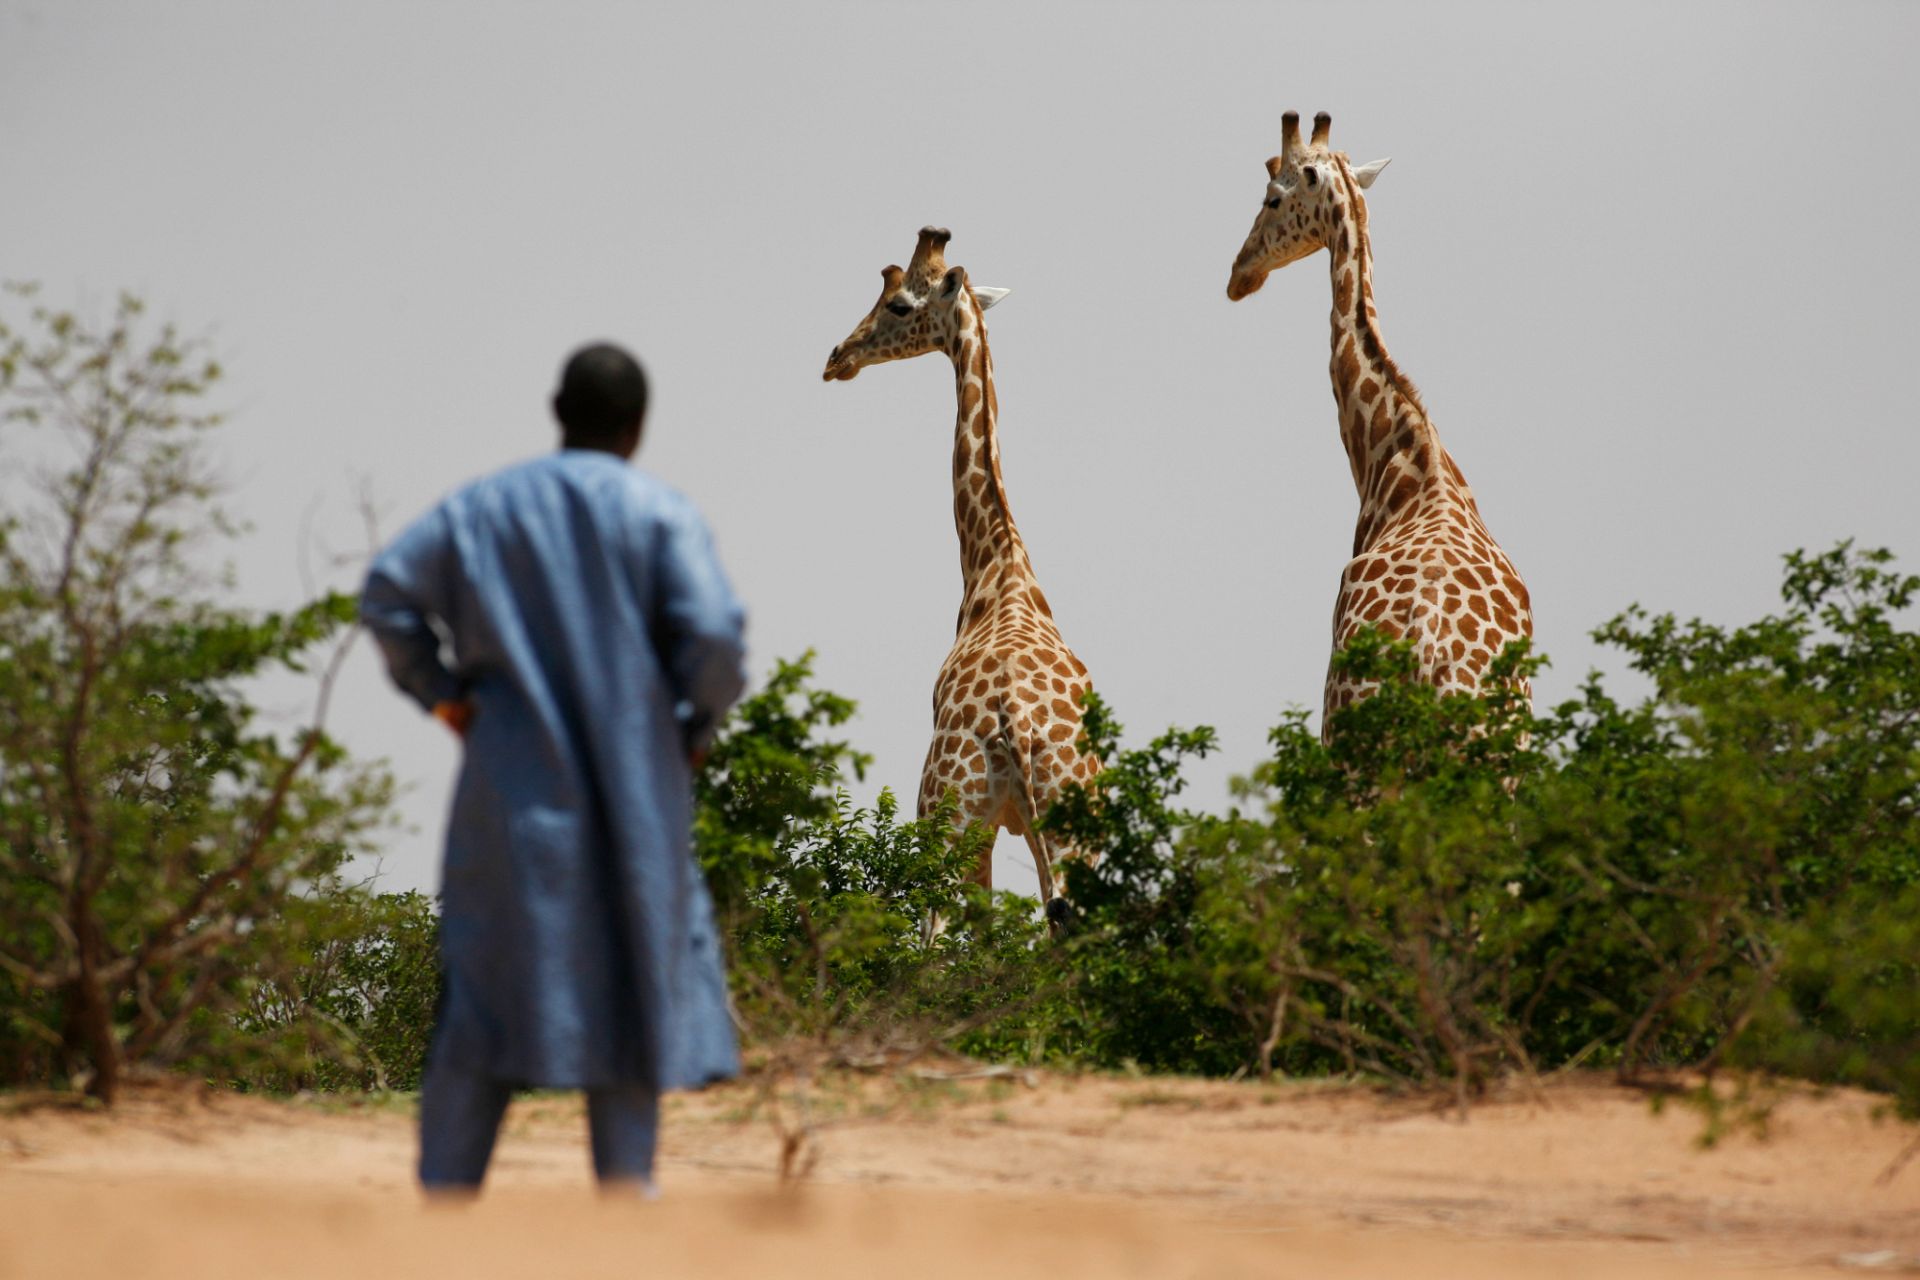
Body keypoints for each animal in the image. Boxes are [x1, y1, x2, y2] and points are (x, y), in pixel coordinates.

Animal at [822, 226, 1097, 912]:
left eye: (898, 304)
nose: (837, 355)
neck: (998, 560)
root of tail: (1015, 720)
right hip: (1072, 824)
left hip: (945, 819)